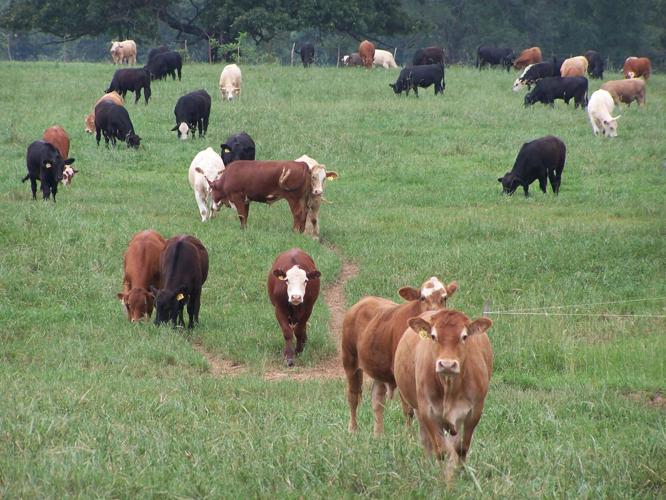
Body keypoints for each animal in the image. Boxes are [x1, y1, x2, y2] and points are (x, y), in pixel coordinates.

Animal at [342, 277, 458, 435]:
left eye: (444, 298)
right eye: (422, 297)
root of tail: (363, 301)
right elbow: (408, 409)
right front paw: (409, 435)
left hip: (378, 368)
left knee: (377, 400)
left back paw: (378, 434)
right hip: (350, 361)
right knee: (353, 396)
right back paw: (352, 429)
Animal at [393, 309, 493, 482]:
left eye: (464, 336)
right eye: (433, 336)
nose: (447, 364)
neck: (449, 388)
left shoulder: (474, 411)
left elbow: (462, 447)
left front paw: (460, 473)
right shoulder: (427, 411)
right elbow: (440, 450)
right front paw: (441, 476)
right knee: (426, 440)